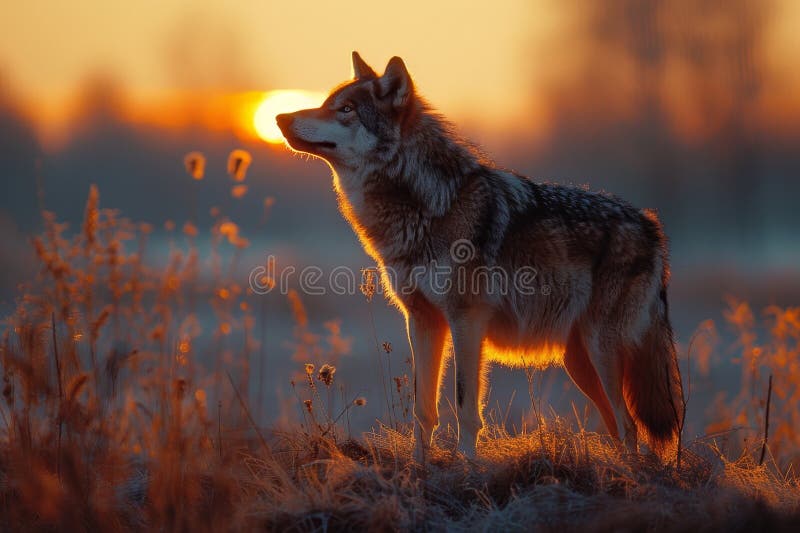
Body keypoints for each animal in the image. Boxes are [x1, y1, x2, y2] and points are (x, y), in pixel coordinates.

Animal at [276, 52, 684, 461]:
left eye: (345, 109)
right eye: (328, 103)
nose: (280, 118)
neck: (429, 205)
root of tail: (651, 225)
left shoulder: (466, 320)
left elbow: (464, 407)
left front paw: (467, 464)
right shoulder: (422, 321)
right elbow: (424, 409)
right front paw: (419, 466)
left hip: (600, 350)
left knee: (630, 425)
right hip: (579, 363)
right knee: (618, 425)